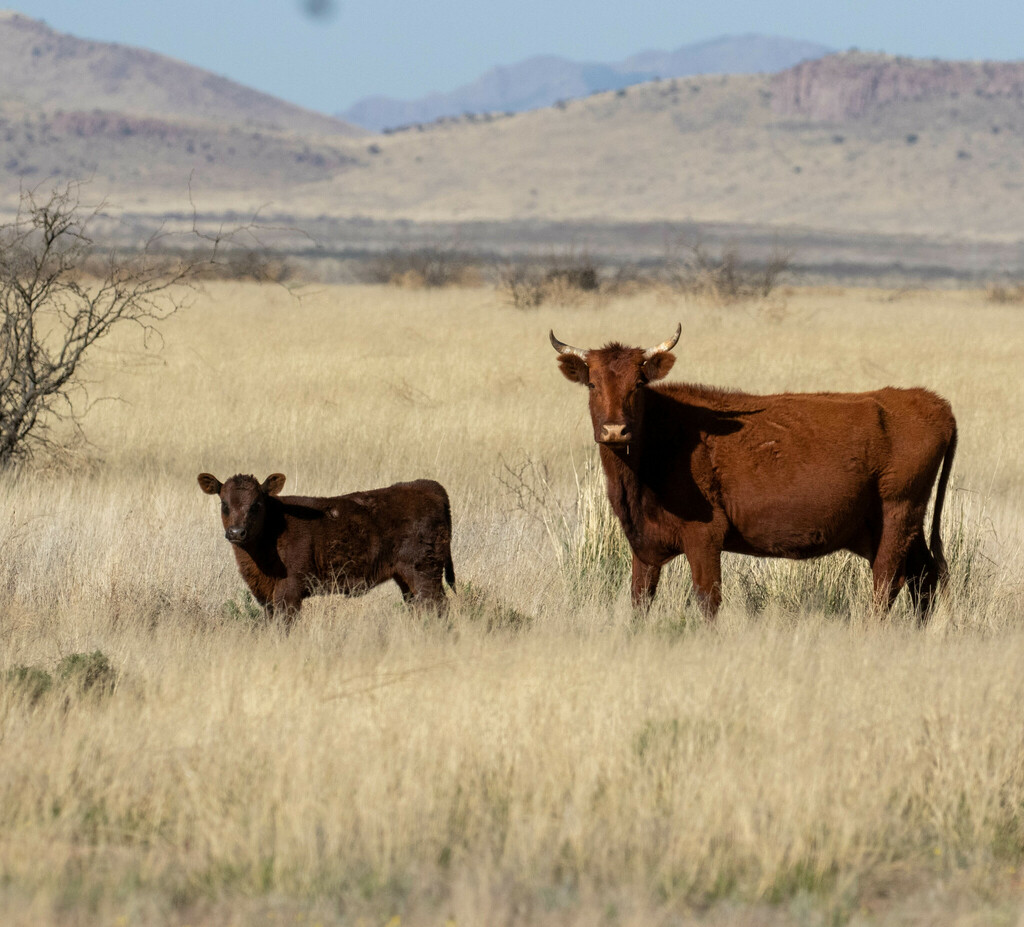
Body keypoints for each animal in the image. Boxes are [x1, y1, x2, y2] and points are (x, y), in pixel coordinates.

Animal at [198, 472, 455, 620]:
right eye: (224, 504)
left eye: (256, 504)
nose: (236, 532)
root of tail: (429, 486)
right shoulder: (266, 596)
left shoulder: (289, 592)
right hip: (406, 577)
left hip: (424, 572)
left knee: (437, 606)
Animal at [550, 324, 957, 620]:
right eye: (592, 383)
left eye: (637, 384)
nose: (614, 431)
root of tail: (930, 401)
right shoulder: (645, 547)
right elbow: (640, 601)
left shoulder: (704, 538)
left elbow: (707, 601)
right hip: (896, 526)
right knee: (924, 577)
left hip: (898, 513)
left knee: (888, 582)